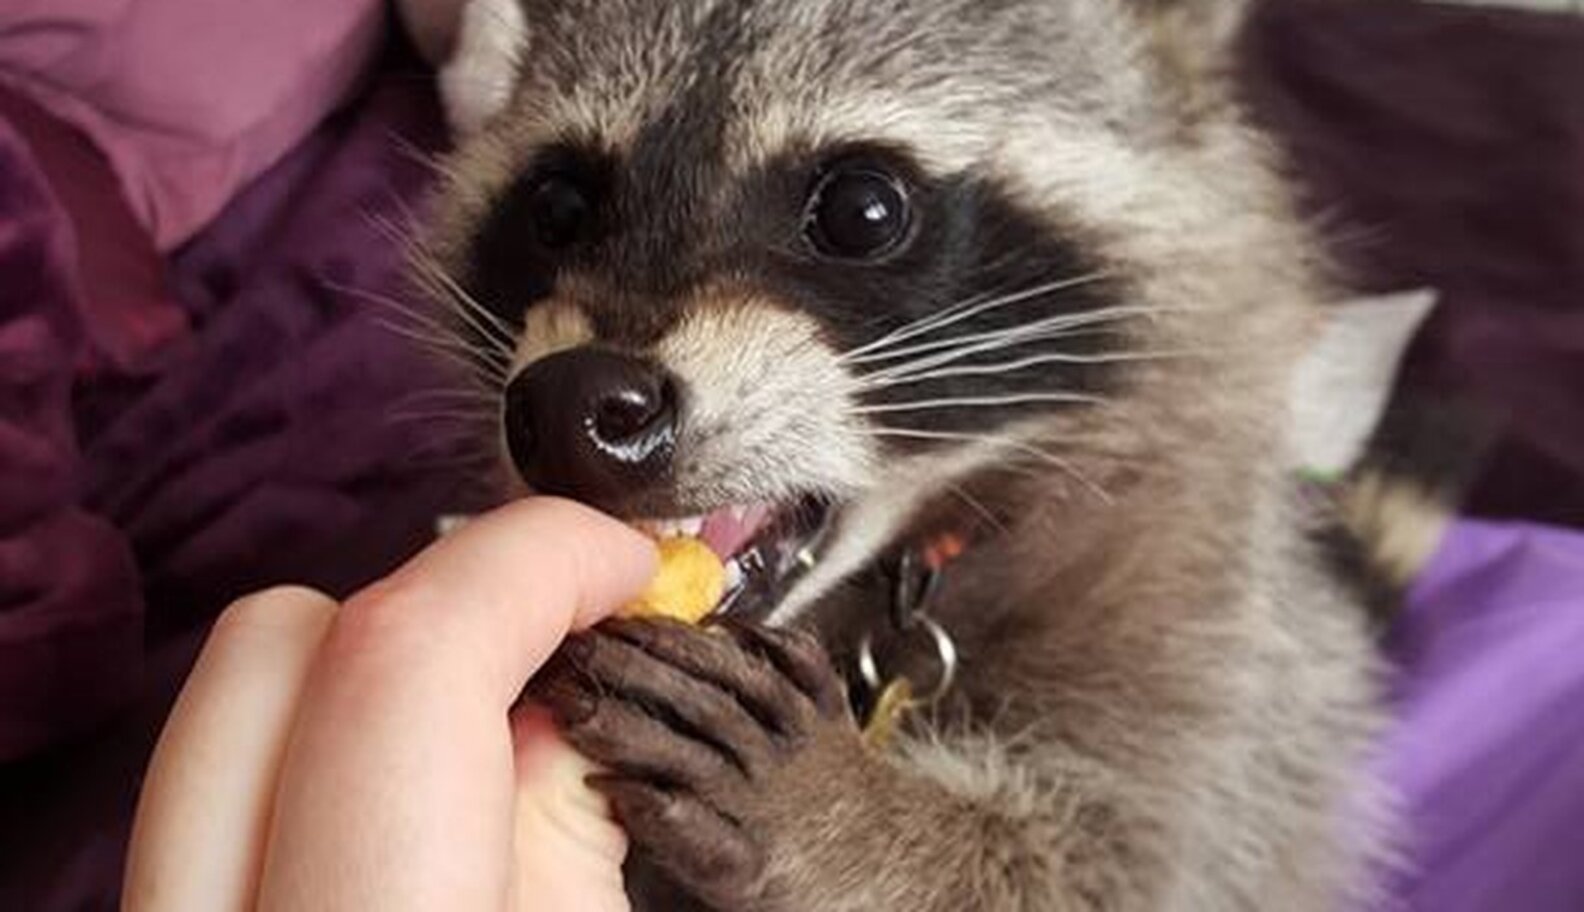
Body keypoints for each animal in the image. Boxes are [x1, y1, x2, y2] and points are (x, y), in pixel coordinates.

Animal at [420, 1, 1383, 909]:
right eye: (557, 207)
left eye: (862, 211)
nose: (573, 402)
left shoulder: (1214, 664)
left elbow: (1119, 869)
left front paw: (842, 808)